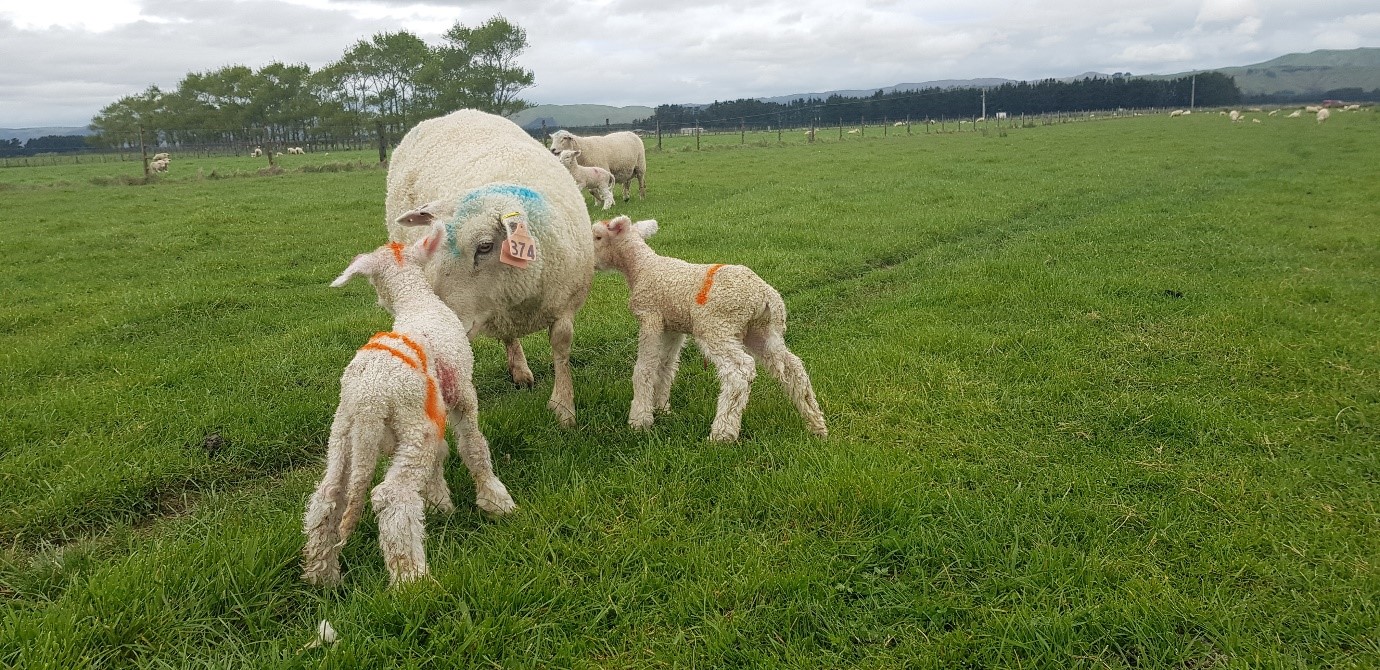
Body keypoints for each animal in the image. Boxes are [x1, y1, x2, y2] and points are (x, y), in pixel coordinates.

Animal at [302, 237, 516, 588]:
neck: (416, 301)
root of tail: (370, 398)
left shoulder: (433, 411)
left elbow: (440, 456)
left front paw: (439, 503)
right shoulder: (461, 393)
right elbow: (473, 446)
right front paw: (495, 500)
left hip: (344, 432)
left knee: (327, 497)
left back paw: (322, 575)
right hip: (412, 427)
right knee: (391, 495)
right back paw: (412, 580)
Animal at [385, 109, 595, 427]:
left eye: (484, 246)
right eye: (430, 243)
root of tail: (454, 114)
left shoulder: (564, 300)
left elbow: (561, 348)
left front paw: (563, 408)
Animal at [591, 215, 828, 442]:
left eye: (597, 237)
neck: (642, 267)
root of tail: (765, 296)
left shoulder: (650, 316)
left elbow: (644, 368)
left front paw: (639, 421)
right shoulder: (672, 325)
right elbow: (665, 366)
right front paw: (661, 408)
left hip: (717, 326)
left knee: (739, 371)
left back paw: (722, 434)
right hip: (762, 331)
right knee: (793, 367)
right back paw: (815, 424)